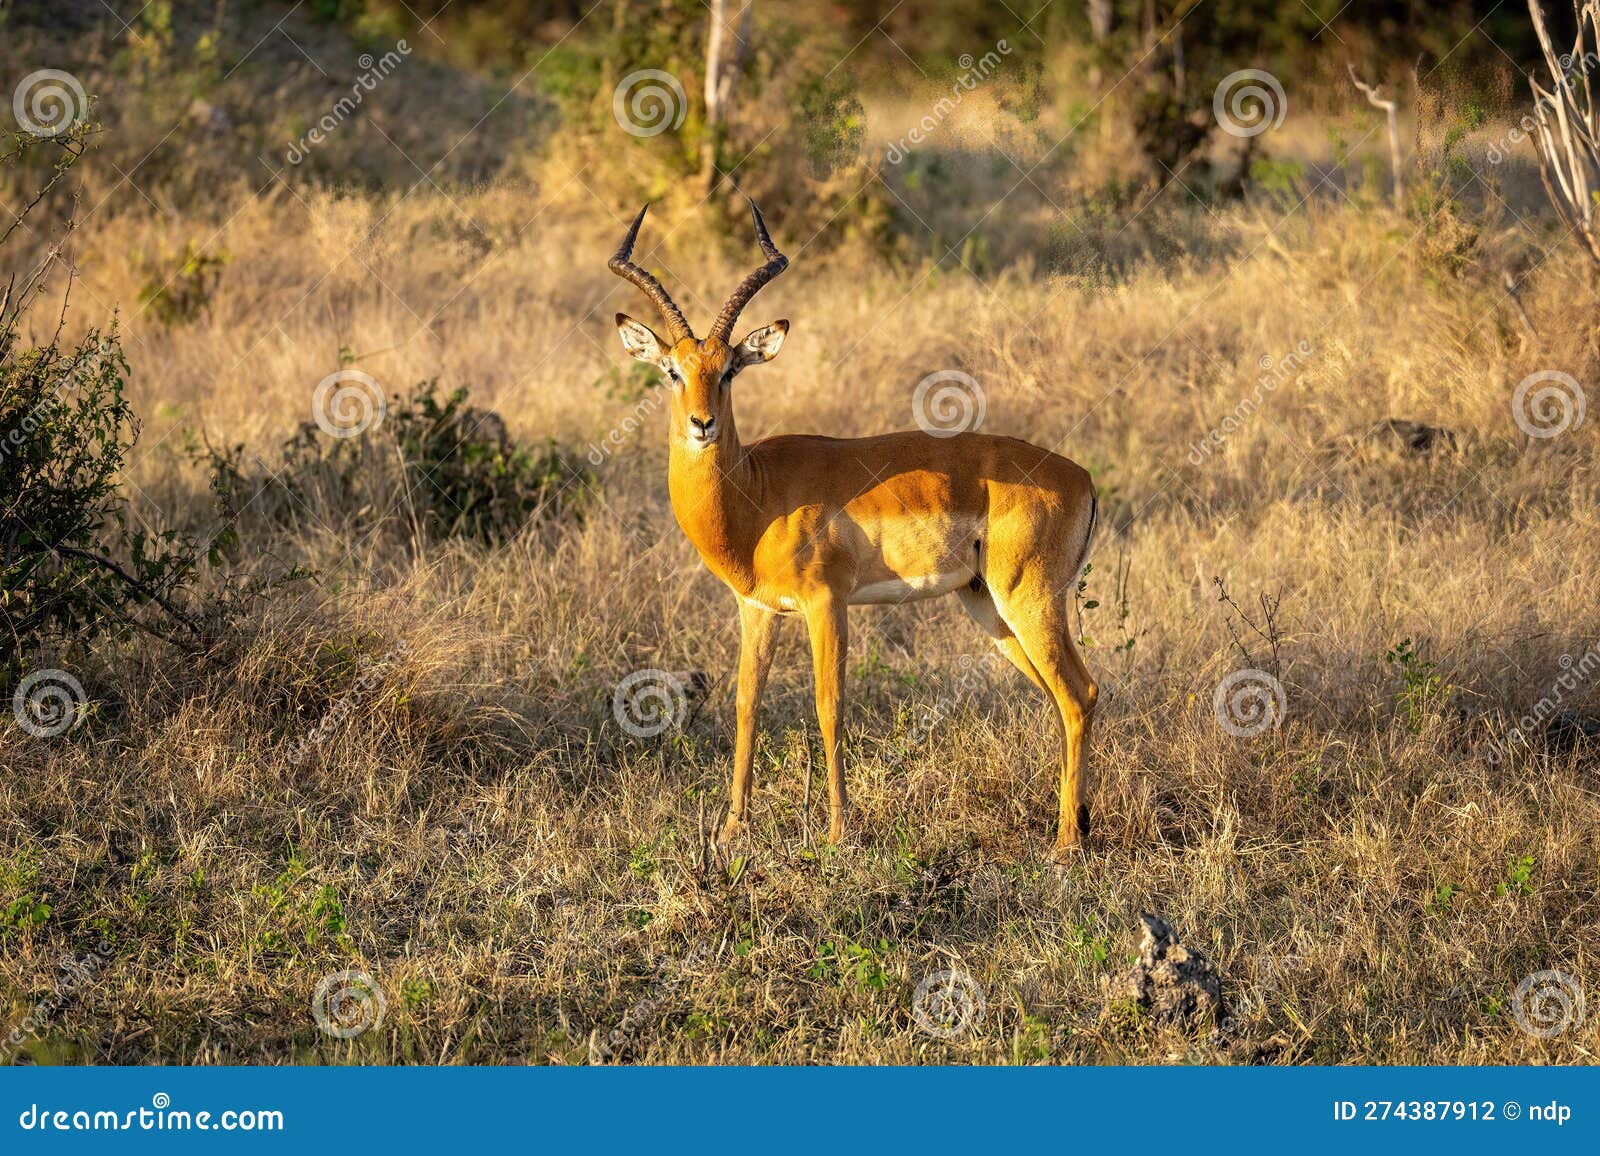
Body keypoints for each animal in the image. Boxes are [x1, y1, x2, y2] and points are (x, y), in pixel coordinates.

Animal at [609, 201, 1099, 861]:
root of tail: (1082, 478)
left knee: (1078, 694)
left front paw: (839, 833)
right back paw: (1073, 822)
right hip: (989, 608)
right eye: (671, 371)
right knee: (1063, 697)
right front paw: (733, 827)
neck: (756, 493)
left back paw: (1067, 843)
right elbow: (746, 705)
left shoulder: (827, 602)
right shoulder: (758, 609)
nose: (701, 424)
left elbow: (830, 706)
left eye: (730, 369)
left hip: (1030, 600)